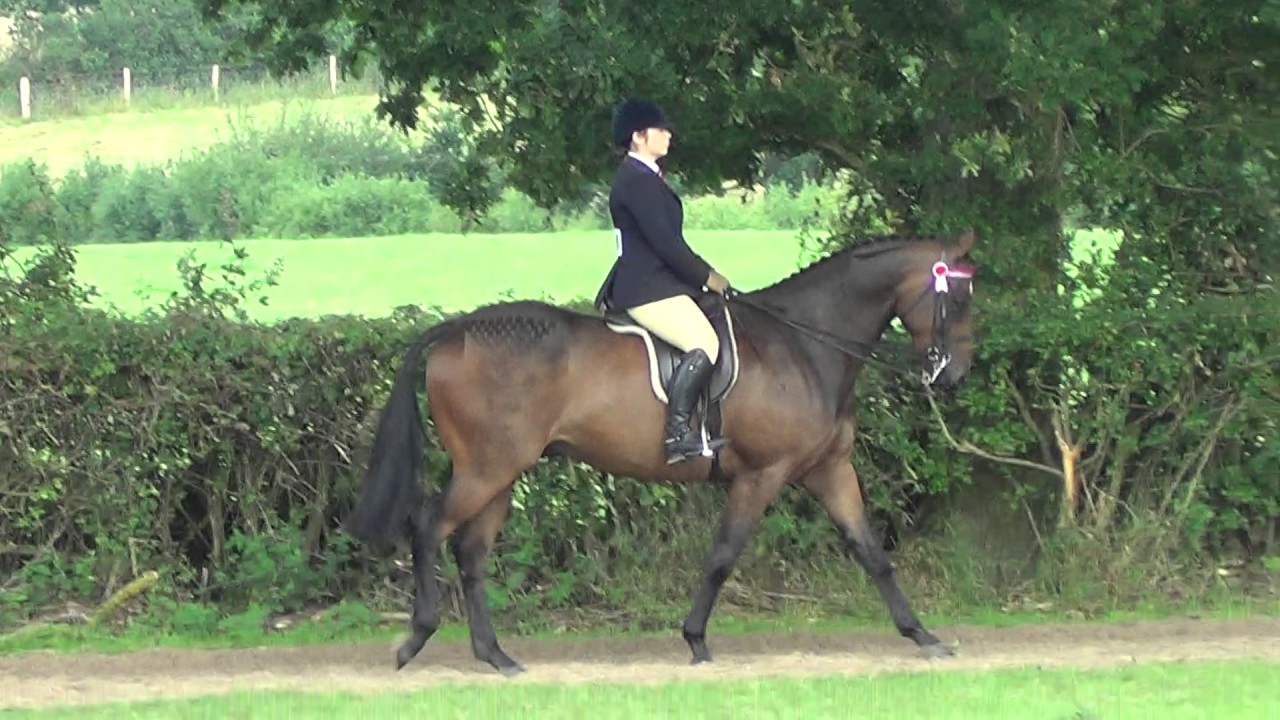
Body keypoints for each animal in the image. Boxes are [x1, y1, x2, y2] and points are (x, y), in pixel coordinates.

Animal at [345, 229, 978, 675]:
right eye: (959, 299)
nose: (953, 377)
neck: (802, 344)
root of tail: (454, 332)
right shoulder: (762, 475)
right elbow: (723, 555)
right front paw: (695, 639)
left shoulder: (828, 470)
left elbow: (871, 552)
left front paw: (922, 635)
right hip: (486, 467)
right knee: (429, 527)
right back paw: (417, 638)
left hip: (502, 474)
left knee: (471, 552)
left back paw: (496, 657)